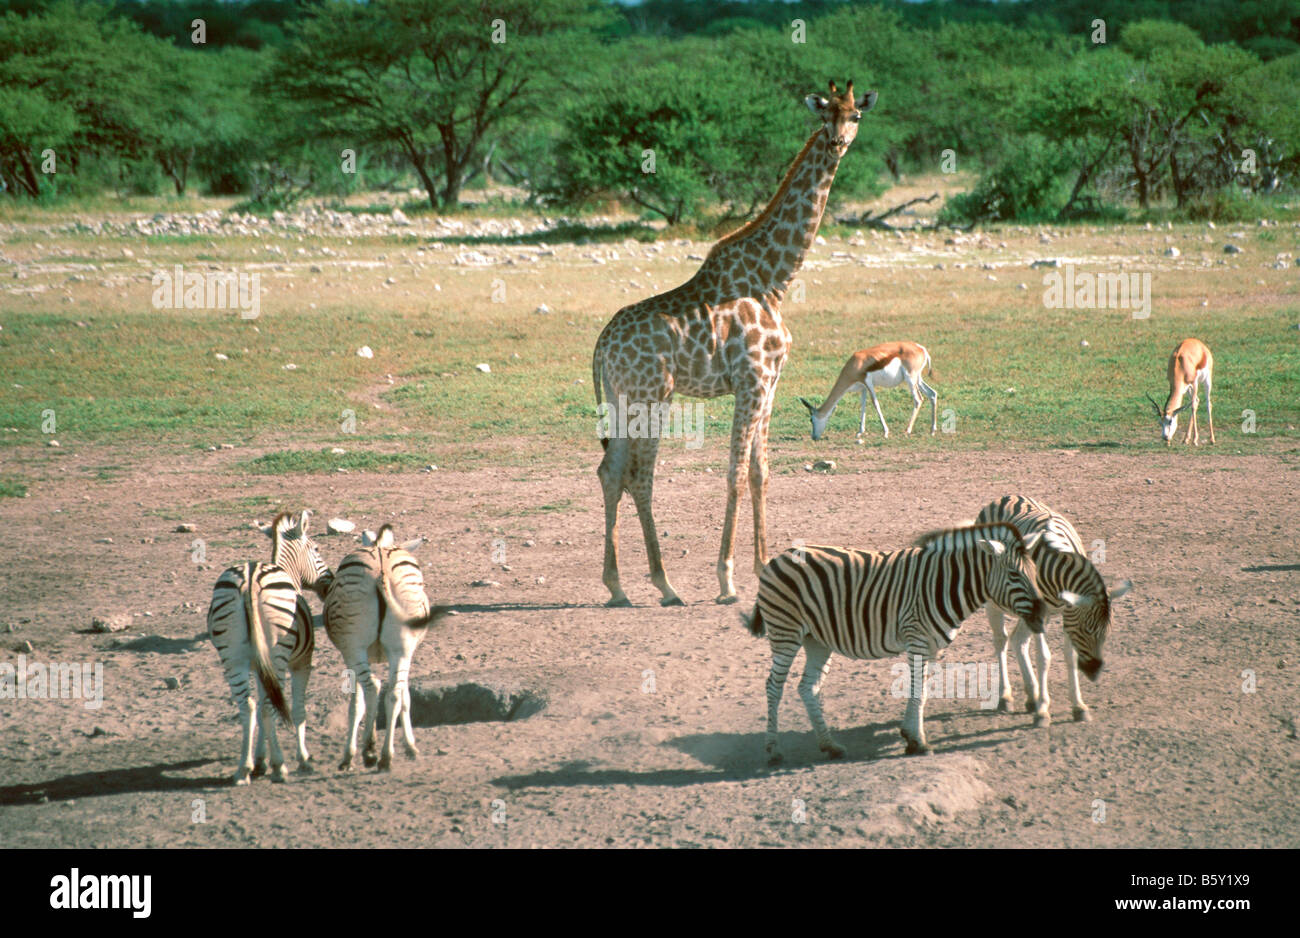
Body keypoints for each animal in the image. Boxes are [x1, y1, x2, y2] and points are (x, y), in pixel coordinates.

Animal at [206, 510, 333, 785]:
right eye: (316, 549)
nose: (331, 582)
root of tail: (250, 580)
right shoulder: (302, 663)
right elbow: (297, 709)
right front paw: (302, 759)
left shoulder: (258, 665)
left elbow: (263, 706)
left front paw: (259, 760)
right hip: (278, 654)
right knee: (268, 706)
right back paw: (279, 767)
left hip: (232, 656)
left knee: (248, 706)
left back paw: (243, 769)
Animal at [324, 524, 449, 771]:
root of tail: (382, 569)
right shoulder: (406, 653)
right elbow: (406, 698)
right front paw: (411, 747)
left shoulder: (349, 655)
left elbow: (356, 705)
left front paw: (349, 755)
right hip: (400, 647)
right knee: (393, 693)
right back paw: (385, 756)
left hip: (354, 646)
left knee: (373, 687)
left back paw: (370, 751)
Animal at [592, 80, 877, 607]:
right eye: (825, 113)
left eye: (855, 116)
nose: (836, 142)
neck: (776, 279)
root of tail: (602, 343)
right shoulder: (752, 380)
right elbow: (736, 472)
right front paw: (726, 580)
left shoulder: (771, 384)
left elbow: (761, 471)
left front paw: (764, 566)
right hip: (652, 396)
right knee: (639, 476)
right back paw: (665, 584)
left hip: (622, 399)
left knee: (610, 472)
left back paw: (618, 586)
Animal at [741, 522, 1044, 764]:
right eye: (1015, 575)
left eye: (1035, 573)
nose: (1042, 615)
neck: (945, 583)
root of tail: (780, 556)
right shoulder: (917, 638)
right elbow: (917, 690)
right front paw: (918, 742)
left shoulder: (931, 645)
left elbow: (921, 690)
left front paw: (911, 738)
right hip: (786, 632)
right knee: (774, 686)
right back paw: (773, 750)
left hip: (816, 640)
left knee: (807, 687)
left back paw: (830, 746)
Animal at [974, 495, 1132, 726]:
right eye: (1085, 631)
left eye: (1106, 633)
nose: (1094, 672)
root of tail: (1005, 496)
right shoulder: (1044, 613)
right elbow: (1044, 657)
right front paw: (1043, 711)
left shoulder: (1067, 612)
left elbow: (1070, 656)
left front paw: (1078, 706)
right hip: (994, 599)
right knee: (1001, 640)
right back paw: (1006, 697)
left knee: (1018, 639)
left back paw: (1032, 696)